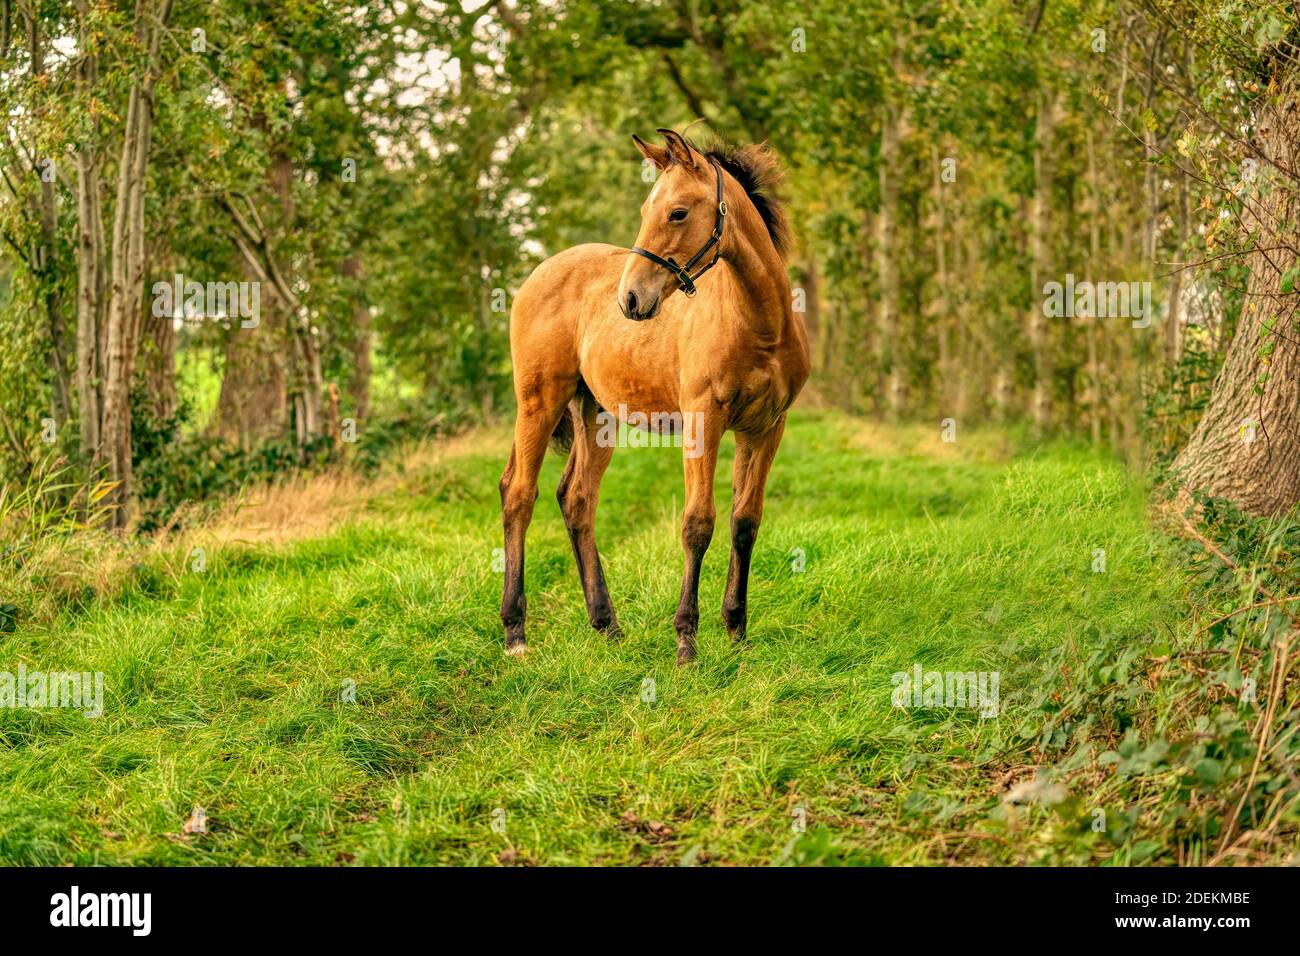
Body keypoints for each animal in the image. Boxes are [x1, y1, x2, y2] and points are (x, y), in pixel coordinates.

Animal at [499, 128, 809, 663]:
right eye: (648, 209)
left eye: (678, 212)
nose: (630, 299)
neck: (760, 327)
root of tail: (539, 273)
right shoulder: (704, 421)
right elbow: (698, 523)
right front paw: (686, 640)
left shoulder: (765, 428)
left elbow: (745, 522)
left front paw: (737, 631)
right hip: (539, 400)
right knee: (519, 493)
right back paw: (516, 632)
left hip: (595, 414)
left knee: (576, 498)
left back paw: (606, 624)